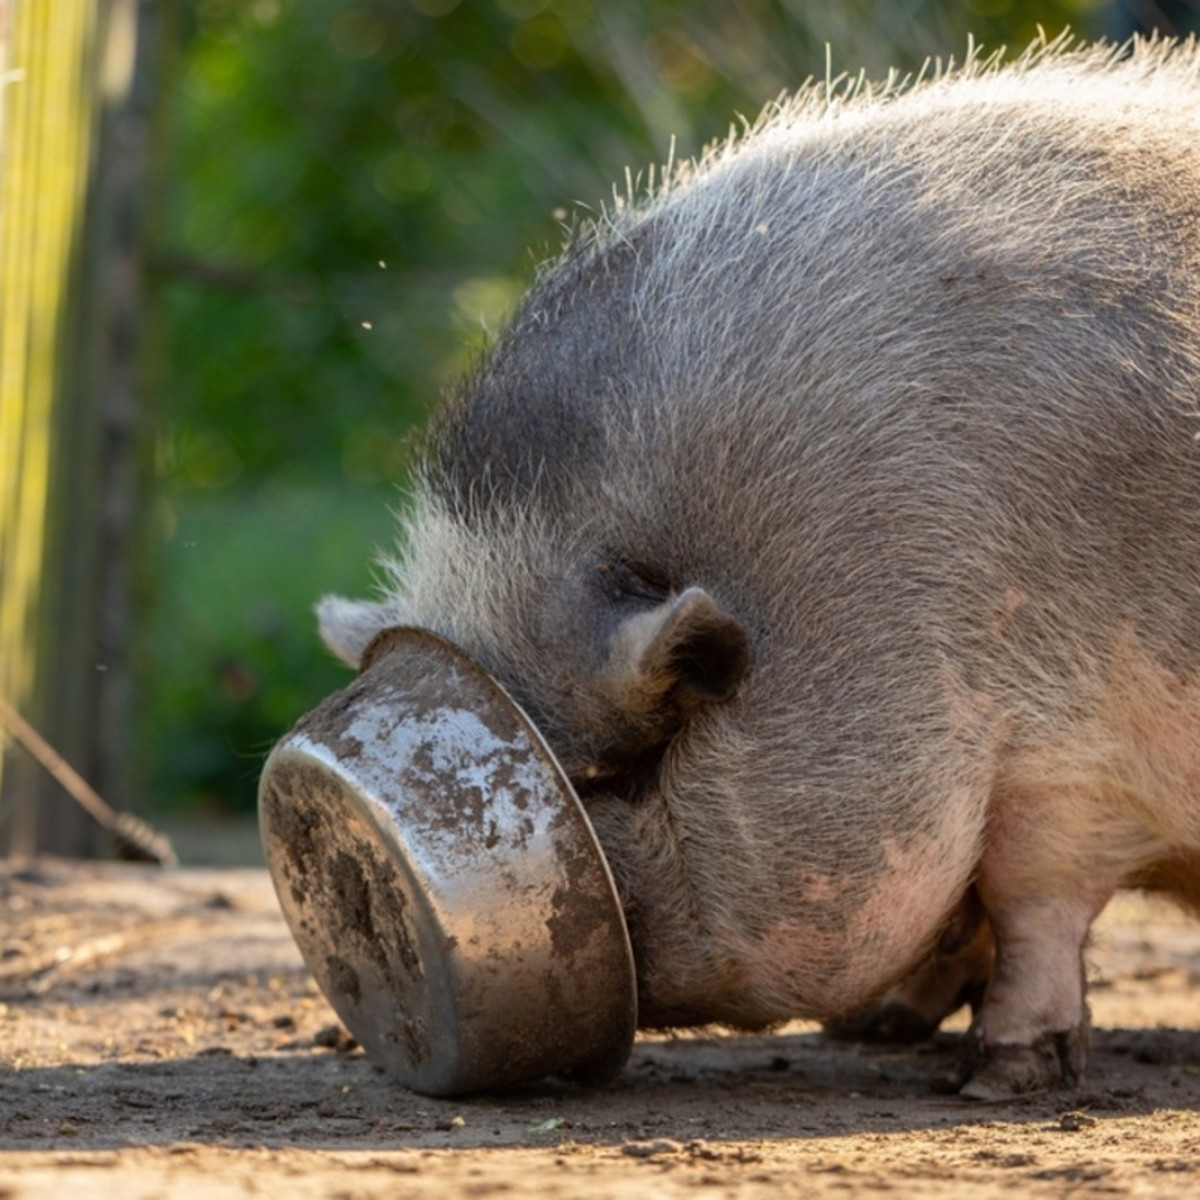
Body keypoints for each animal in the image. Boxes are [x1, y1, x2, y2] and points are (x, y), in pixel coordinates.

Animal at [316, 37, 1200, 1099]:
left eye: (609, 774)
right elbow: (976, 910)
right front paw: (872, 1031)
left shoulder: (1074, 752)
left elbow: (1034, 904)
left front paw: (999, 1077)